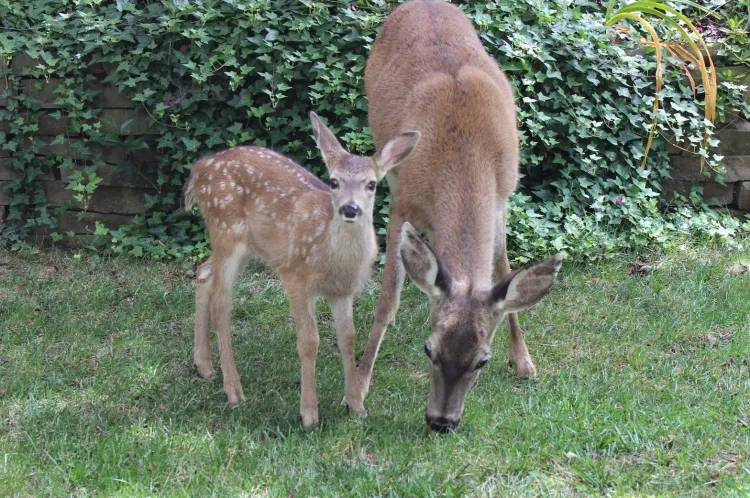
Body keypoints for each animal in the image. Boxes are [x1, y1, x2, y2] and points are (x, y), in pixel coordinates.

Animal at [183, 112, 420, 427]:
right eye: (333, 181)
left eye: (371, 184)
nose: (350, 209)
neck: (333, 259)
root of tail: (199, 168)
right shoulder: (295, 276)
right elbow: (309, 341)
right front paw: (309, 413)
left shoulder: (343, 291)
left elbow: (348, 339)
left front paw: (356, 405)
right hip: (226, 231)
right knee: (221, 304)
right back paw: (234, 390)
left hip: (245, 247)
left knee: (204, 273)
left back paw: (204, 366)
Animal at [355, 0, 563, 431]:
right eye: (427, 349)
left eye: (482, 360)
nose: (441, 421)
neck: (464, 149)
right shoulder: (403, 205)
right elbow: (386, 300)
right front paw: (357, 393)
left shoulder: (503, 196)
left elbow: (503, 269)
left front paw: (523, 361)